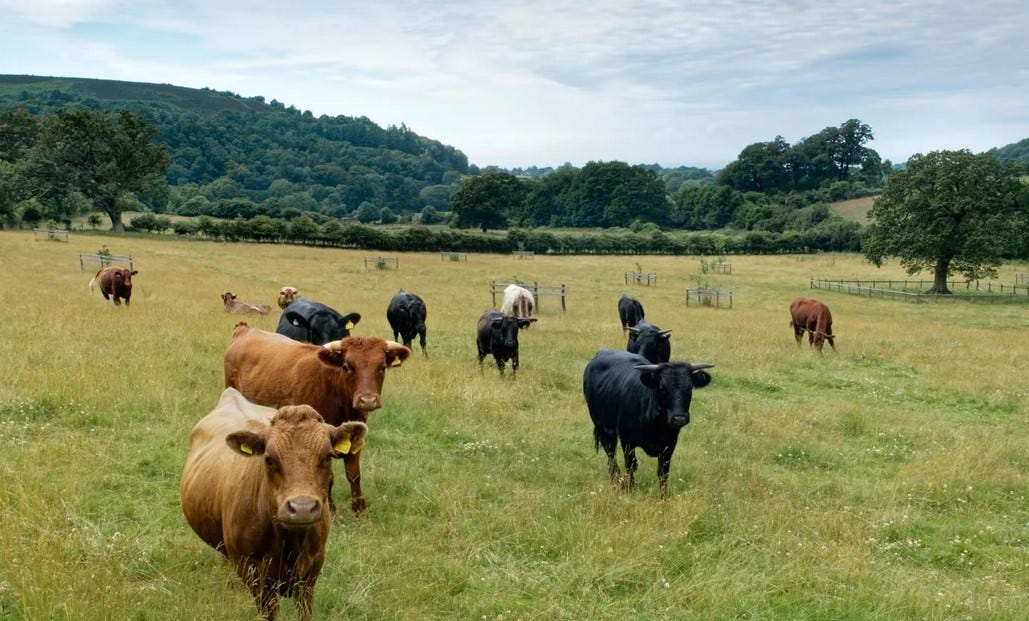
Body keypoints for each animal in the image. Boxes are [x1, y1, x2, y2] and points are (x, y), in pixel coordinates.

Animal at [180, 387, 367, 620]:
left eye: (327, 457)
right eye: (269, 459)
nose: (302, 508)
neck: (289, 542)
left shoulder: (311, 573)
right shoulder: (255, 575)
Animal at [224, 322, 411, 513]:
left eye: (382, 366)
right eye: (346, 366)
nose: (368, 400)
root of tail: (245, 329)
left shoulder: (355, 437)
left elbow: (354, 474)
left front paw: (359, 508)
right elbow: (329, 478)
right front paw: (332, 511)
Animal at [583, 349, 713, 496]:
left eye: (689, 388)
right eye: (662, 389)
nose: (679, 418)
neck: (656, 425)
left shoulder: (669, 444)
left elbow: (663, 472)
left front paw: (663, 496)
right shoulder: (627, 440)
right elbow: (630, 465)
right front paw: (630, 489)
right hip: (604, 428)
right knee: (611, 455)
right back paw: (616, 481)